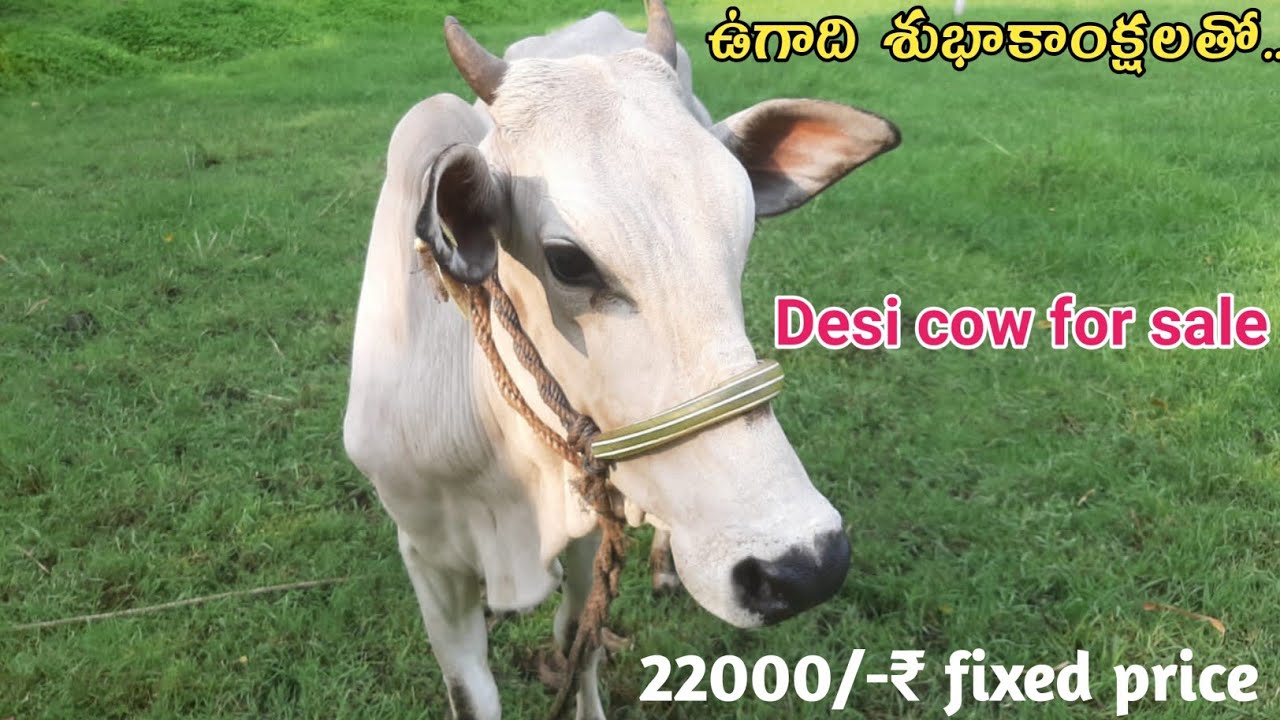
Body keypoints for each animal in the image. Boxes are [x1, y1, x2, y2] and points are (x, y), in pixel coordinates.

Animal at [341, 2, 900, 718]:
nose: (805, 565)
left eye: (745, 229)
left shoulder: (589, 521)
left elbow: (577, 642)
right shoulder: (427, 555)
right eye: (567, 261)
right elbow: (473, 690)